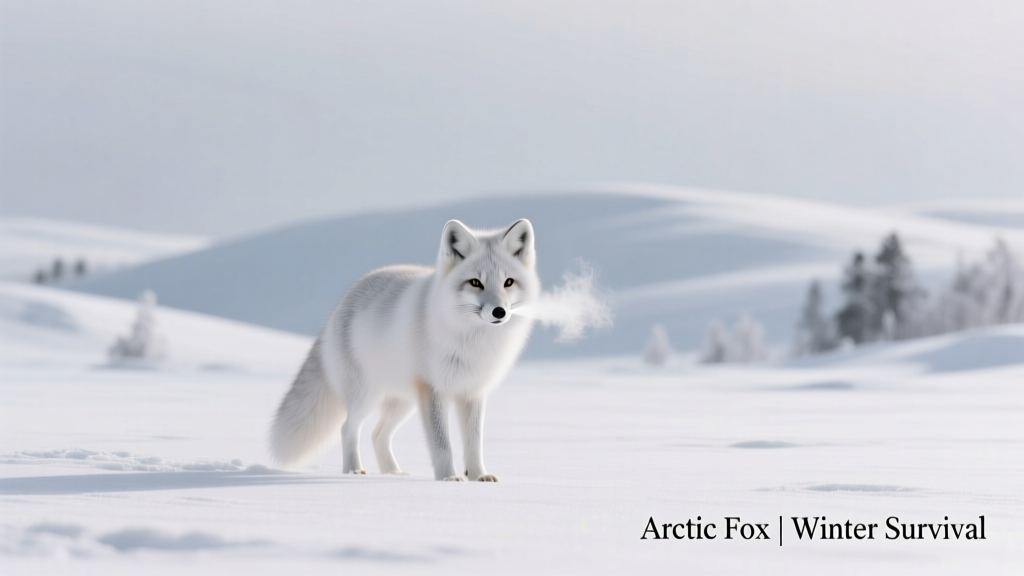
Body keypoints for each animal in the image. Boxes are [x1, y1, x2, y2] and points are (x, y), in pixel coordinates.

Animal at [269, 219, 539, 481]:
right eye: (475, 283)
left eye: (508, 282)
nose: (499, 312)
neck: (474, 340)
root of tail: (341, 303)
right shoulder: (433, 389)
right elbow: (442, 445)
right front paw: (448, 478)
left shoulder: (472, 392)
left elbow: (474, 443)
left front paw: (478, 476)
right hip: (368, 396)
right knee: (348, 428)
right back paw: (354, 471)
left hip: (403, 402)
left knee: (378, 434)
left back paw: (392, 473)